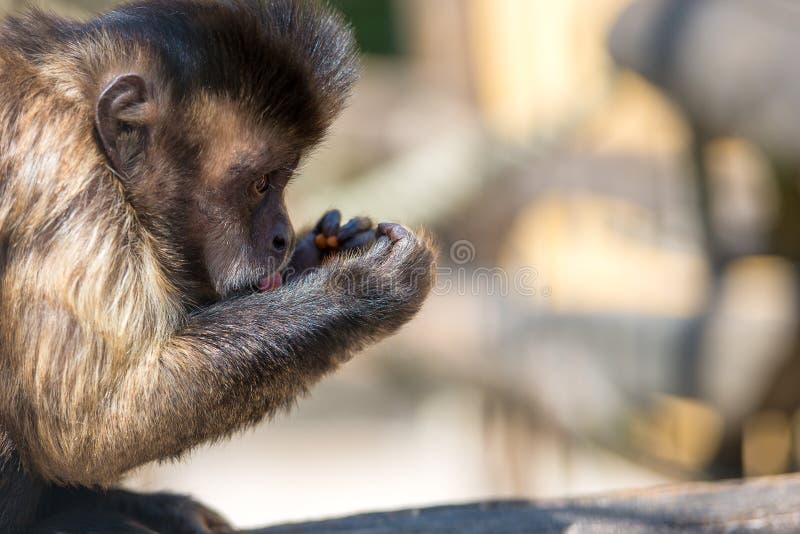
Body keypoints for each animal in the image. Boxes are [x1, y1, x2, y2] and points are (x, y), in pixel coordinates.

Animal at [0, 0, 434, 532]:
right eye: (260, 183)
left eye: (284, 179)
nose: (281, 238)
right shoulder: (59, 167)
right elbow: (87, 427)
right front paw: (367, 285)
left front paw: (322, 252)